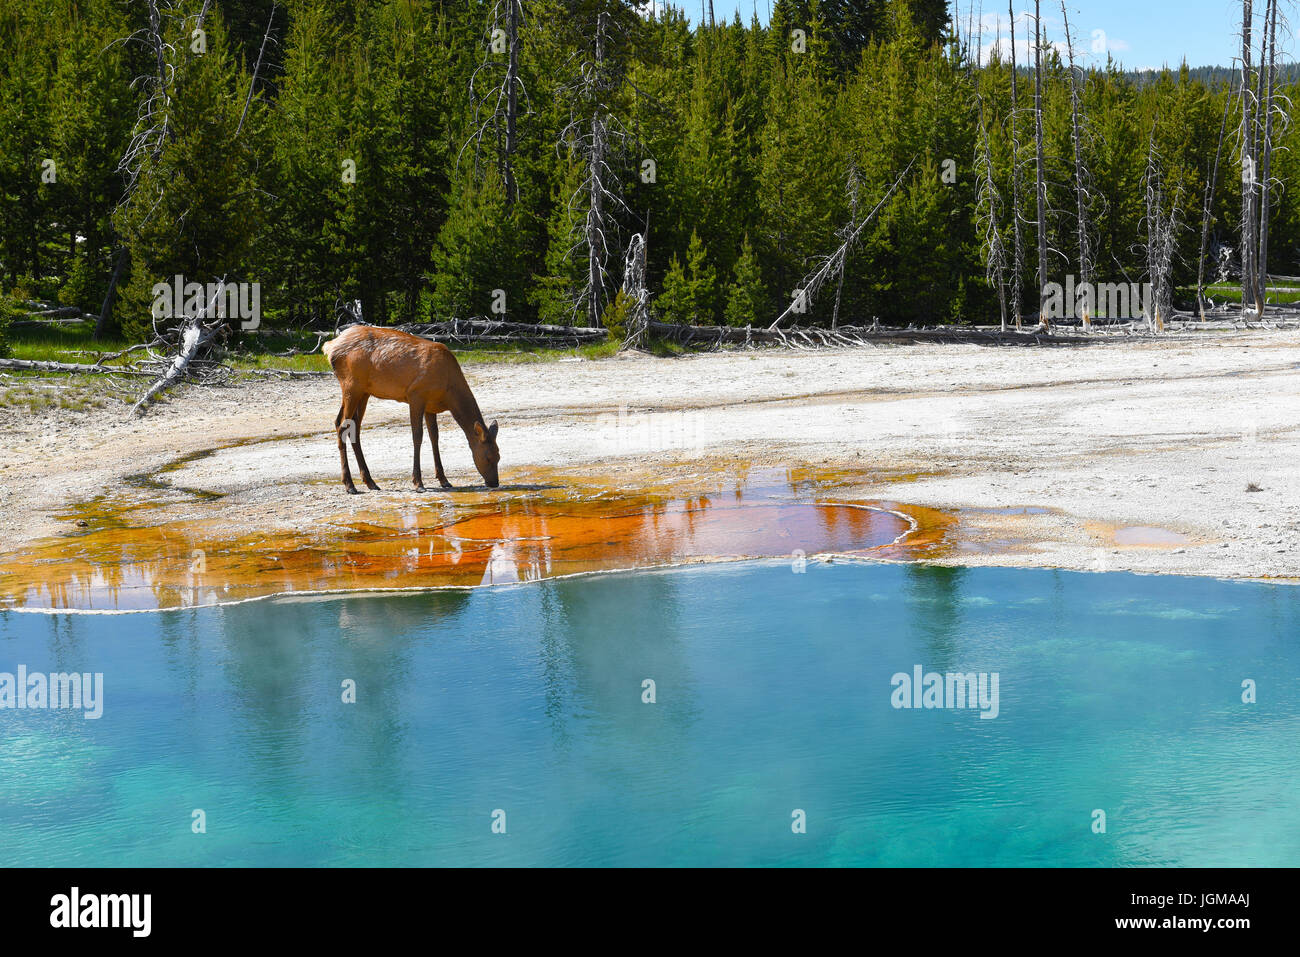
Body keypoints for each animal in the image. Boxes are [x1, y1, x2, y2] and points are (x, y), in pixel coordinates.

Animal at [322, 325, 500, 494]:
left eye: (499, 455)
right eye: (488, 457)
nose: (495, 483)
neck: (449, 392)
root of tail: (329, 347)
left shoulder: (431, 406)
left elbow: (434, 437)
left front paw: (444, 480)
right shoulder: (416, 395)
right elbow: (417, 436)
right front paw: (418, 483)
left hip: (364, 391)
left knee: (350, 426)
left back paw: (370, 482)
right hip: (351, 385)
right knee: (343, 426)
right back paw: (349, 485)